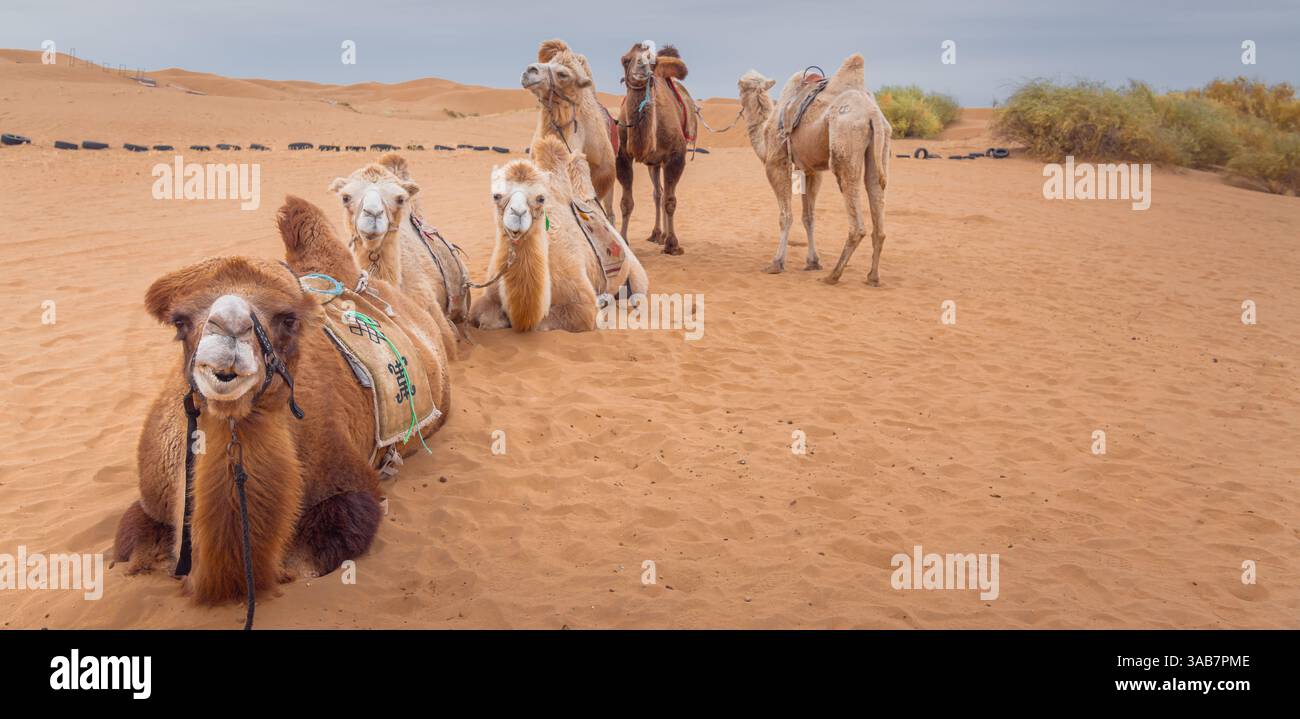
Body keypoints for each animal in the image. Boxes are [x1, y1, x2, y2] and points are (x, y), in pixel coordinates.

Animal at [113, 196, 451, 605]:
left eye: (288, 320)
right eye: (180, 323)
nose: (228, 333)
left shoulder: (346, 484)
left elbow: (307, 558)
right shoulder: (152, 503)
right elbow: (133, 549)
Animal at [468, 137, 649, 333]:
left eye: (541, 198)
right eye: (496, 195)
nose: (517, 214)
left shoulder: (581, 305)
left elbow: (541, 324)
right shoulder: (488, 296)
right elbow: (483, 318)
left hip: (635, 274)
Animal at [616, 41, 699, 256]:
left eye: (651, 62)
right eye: (625, 60)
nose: (641, 68)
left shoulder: (676, 156)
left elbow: (670, 201)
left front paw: (672, 244)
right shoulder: (622, 156)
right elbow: (626, 202)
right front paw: (623, 240)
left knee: (663, 194)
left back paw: (663, 236)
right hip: (653, 163)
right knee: (657, 193)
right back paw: (656, 234)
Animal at [737, 54, 891, 284]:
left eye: (740, 84)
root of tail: (872, 112)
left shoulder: (776, 163)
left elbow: (785, 216)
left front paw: (776, 263)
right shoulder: (811, 170)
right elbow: (808, 216)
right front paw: (812, 262)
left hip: (845, 140)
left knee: (854, 212)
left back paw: (833, 275)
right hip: (881, 143)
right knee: (875, 191)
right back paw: (872, 277)